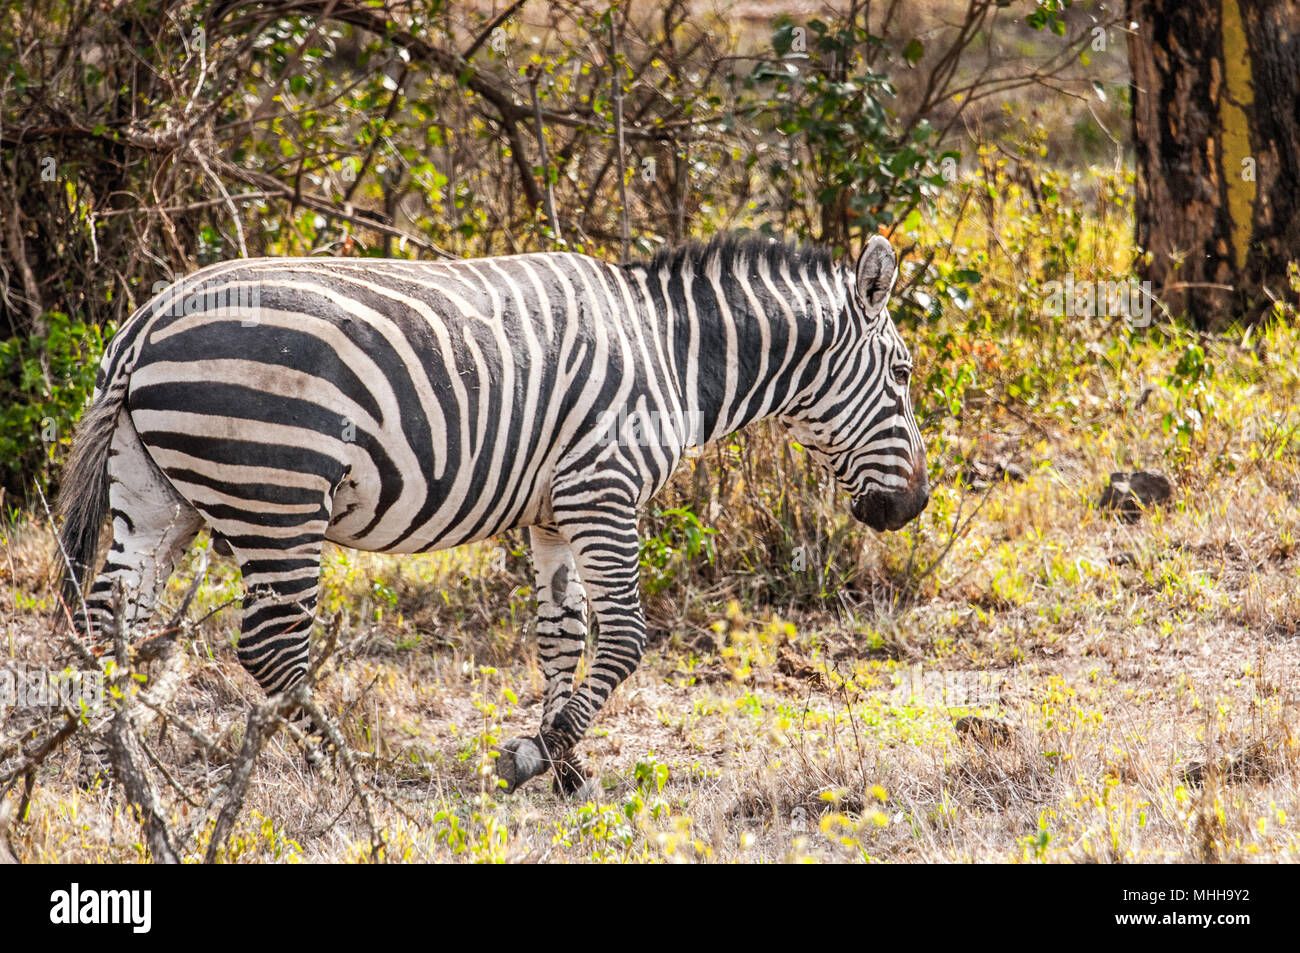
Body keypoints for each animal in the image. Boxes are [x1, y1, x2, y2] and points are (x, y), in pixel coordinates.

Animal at [56, 233, 929, 795]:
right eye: (902, 371)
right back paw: (337, 763)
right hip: (277, 489)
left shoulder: (554, 510)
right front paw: (534, 756)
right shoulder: (603, 487)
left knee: (108, 619)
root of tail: (146, 321)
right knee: (269, 645)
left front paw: (567, 763)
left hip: (158, 497)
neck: (673, 356)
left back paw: (106, 764)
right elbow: (626, 635)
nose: (913, 505)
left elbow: (562, 631)